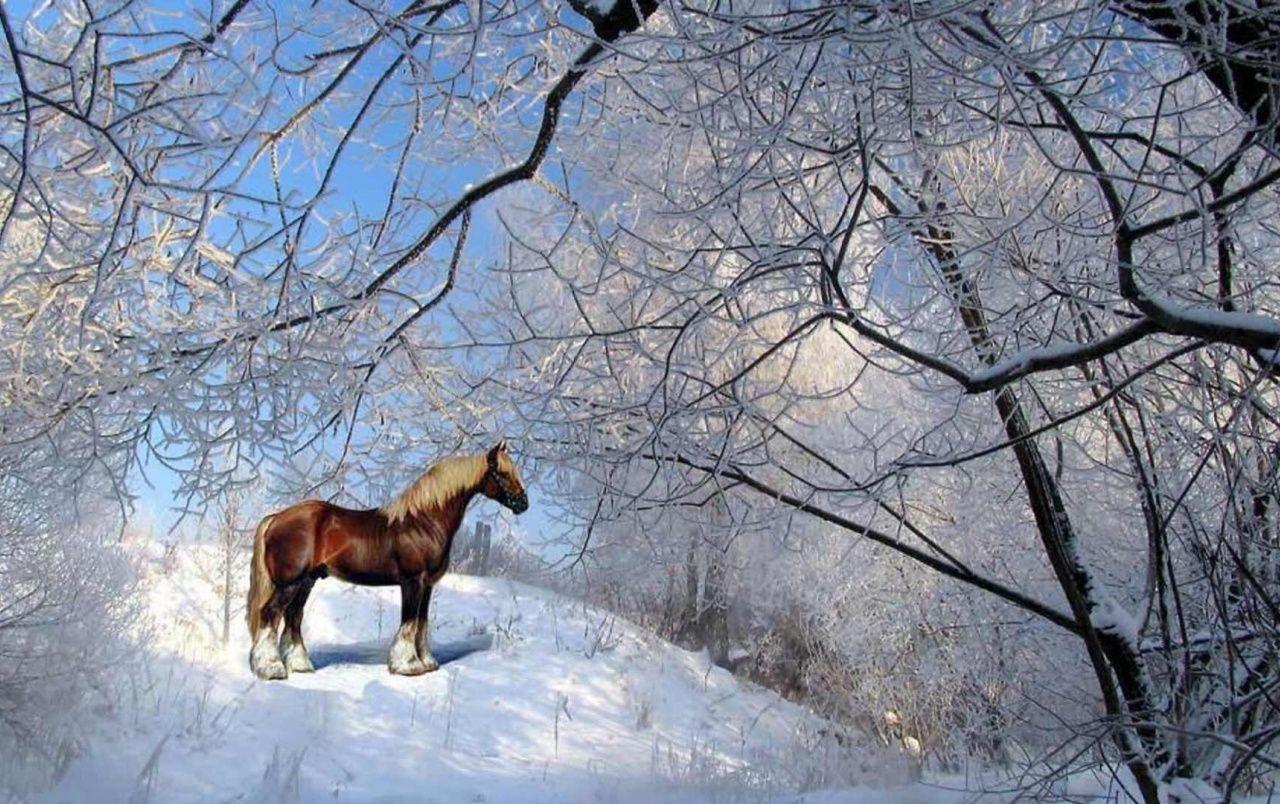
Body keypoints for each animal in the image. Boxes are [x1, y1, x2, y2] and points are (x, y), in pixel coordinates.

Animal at [245, 441, 528, 680]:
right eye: (502, 473)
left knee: (293, 615)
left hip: (306, 581)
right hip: (290, 583)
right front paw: (408, 665)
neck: (424, 521)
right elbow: (409, 622)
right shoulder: (413, 582)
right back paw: (271, 668)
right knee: (270, 613)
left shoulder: (427, 585)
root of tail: (276, 517)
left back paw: (300, 665)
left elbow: (422, 623)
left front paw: (427, 662)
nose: (523, 504)